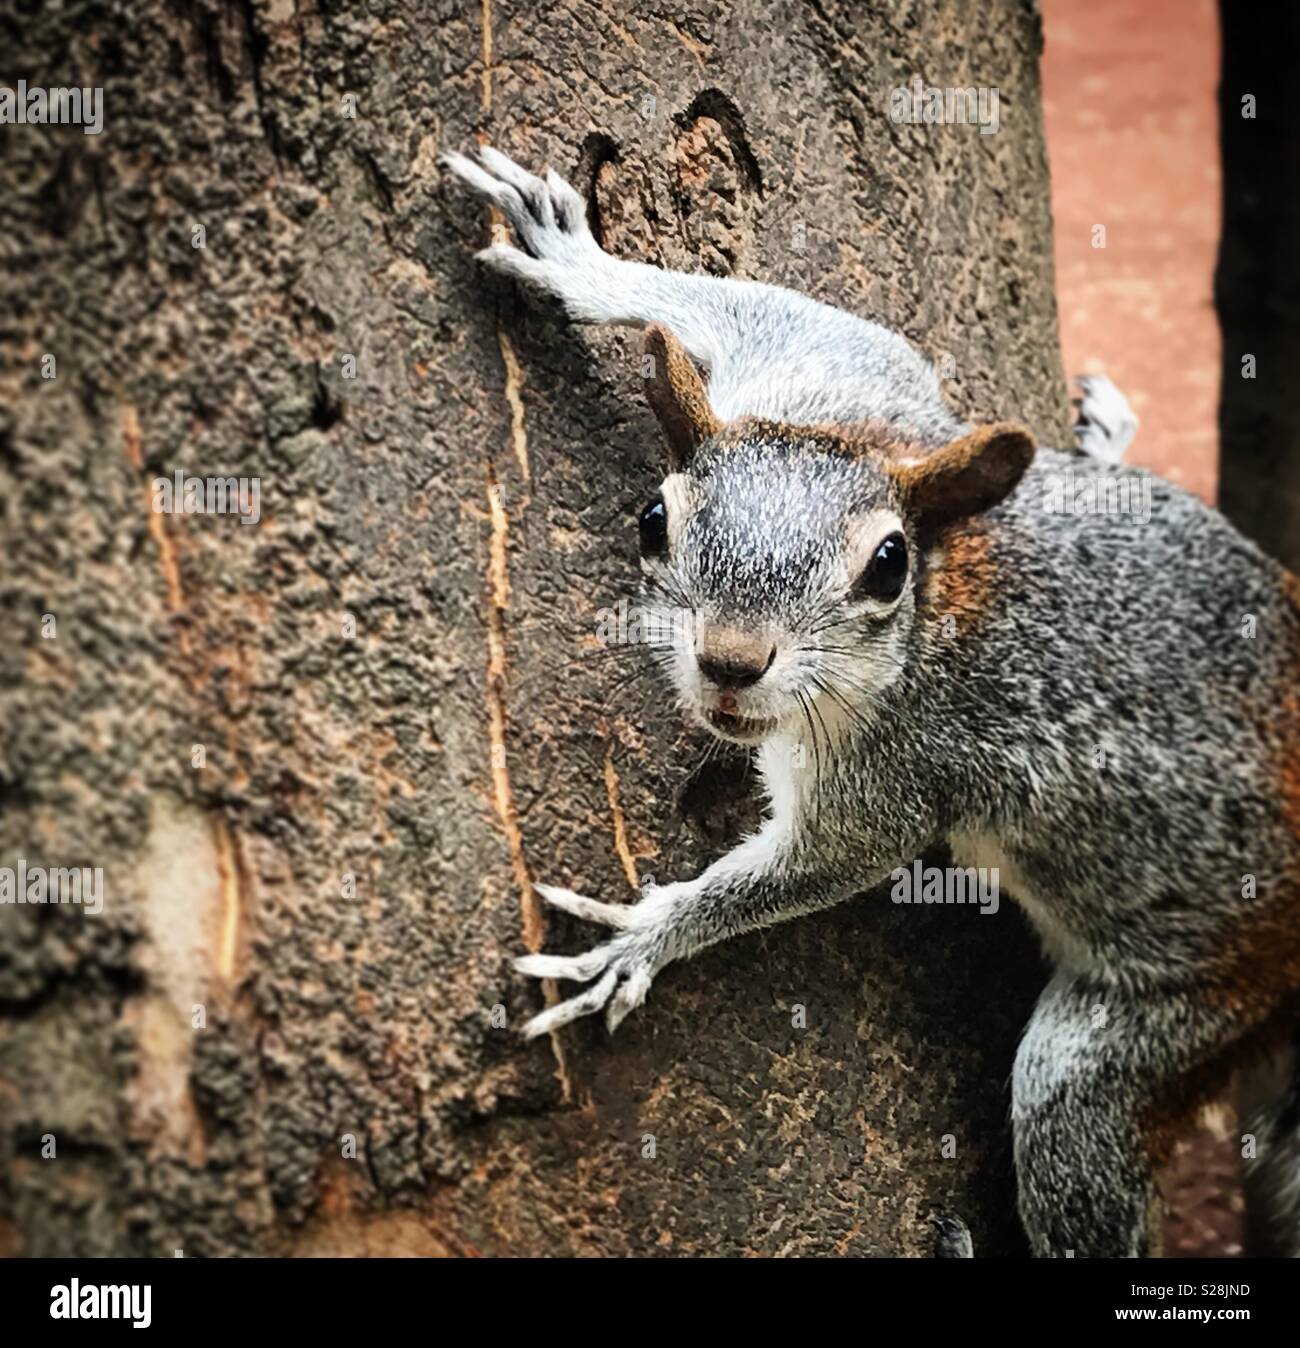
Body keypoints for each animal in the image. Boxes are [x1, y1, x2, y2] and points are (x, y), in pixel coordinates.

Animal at [442, 143, 1300, 1258]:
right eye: (652, 519)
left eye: (886, 565)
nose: (731, 663)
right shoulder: (842, 373)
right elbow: (765, 308)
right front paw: (578, 260)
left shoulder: (899, 773)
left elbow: (817, 864)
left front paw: (642, 937)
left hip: (1178, 1006)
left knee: (1079, 1130)